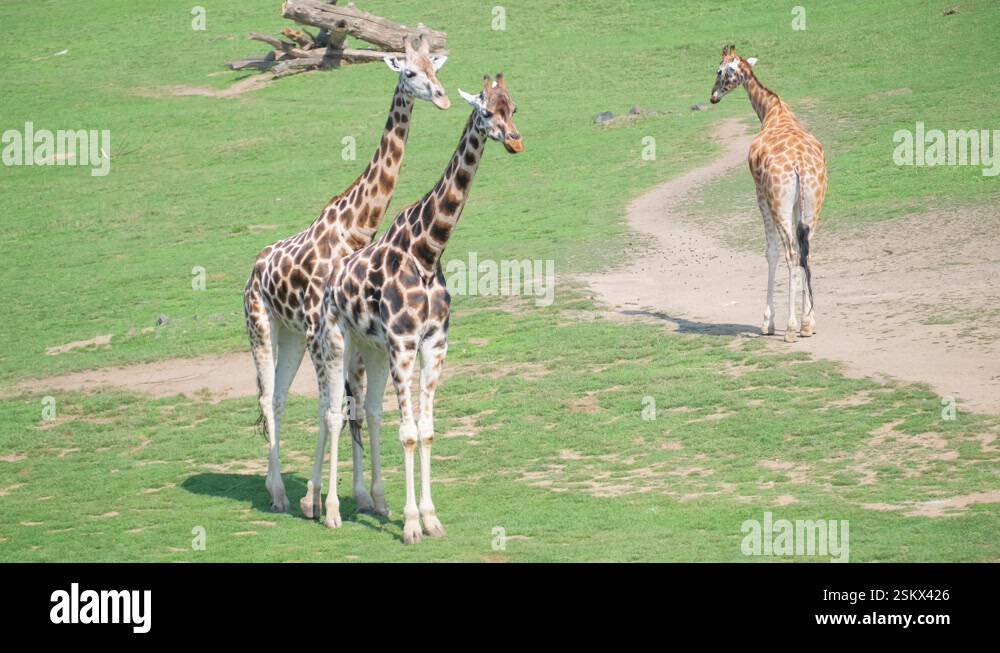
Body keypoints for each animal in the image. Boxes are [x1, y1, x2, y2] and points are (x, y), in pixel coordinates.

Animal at [243, 34, 449, 515]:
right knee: (267, 394)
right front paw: (323, 498)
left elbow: (356, 407)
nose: (441, 96)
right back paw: (280, 492)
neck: (356, 226)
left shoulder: (352, 333)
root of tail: (253, 269)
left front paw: (367, 496)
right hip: (261, 325)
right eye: (409, 72)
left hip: (291, 334)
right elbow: (333, 409)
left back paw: (283, 490)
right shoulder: (327, 328)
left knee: (279, 397)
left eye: (435, 68)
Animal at [317, 74, 522, 542]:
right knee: (335, 413)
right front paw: (411, 525)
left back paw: (370, 502)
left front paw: (431, 518)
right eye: (487, 111)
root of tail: (331, 283)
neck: (427, 253)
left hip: (370, 349)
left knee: (367, 412)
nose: (516, 141)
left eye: (514, 107)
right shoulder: (404, 344)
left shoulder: (434, 344)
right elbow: (408, 433)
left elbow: (426, 432)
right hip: (336, 341)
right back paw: (330, 511)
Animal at [710, 45, 827, 342]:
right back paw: (807, 324)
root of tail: (801, 166)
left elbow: (770, 251)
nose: (712, 96)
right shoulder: (796, 205)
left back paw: (790, 329)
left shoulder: (760, 194)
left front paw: (768, 322)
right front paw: (806, 322)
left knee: (791, 253)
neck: (771, 111)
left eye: (719, 70)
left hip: (778, 202)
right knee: (807, 251)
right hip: (814, 203)